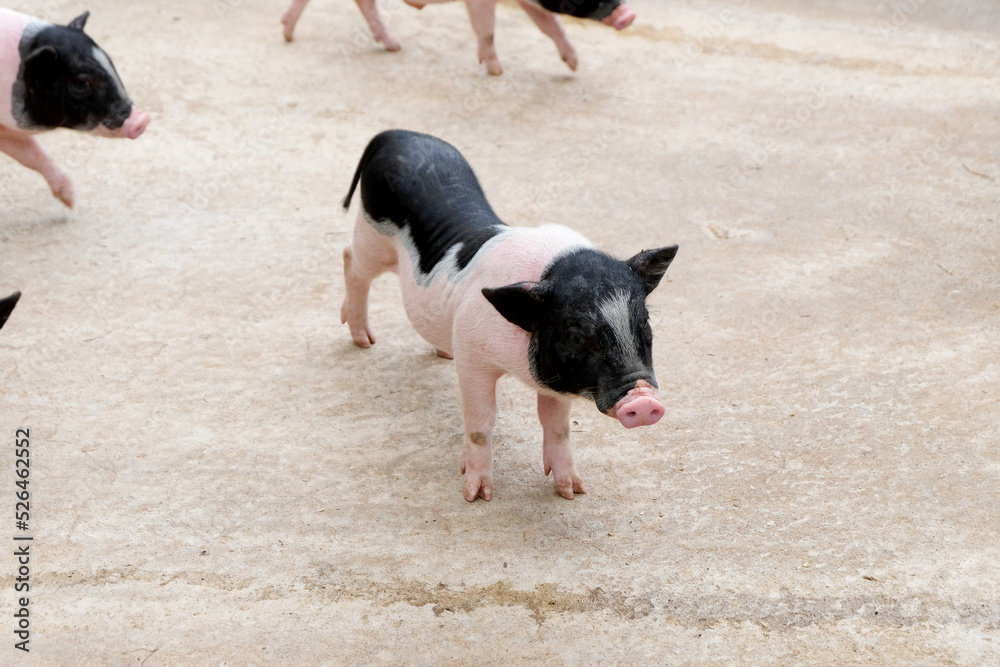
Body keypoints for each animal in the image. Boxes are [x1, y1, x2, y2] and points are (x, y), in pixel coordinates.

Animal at [0, 9, 150, 208]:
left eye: (110, 63)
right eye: (81, 82)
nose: (143, 119)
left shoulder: (6, 129)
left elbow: (31, 153)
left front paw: (70, 202)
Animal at [340, 130, 677, 501]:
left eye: (645, 325)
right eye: (577, 335)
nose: (643, 399)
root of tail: (396, 134)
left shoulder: (553, 381)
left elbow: (557, 427)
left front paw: (572, 491)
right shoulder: (473, 358)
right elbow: (480, 424)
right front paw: (477, 495)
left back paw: (443, 353)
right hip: (370, 233)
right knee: (351, 262)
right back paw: (364, 341)